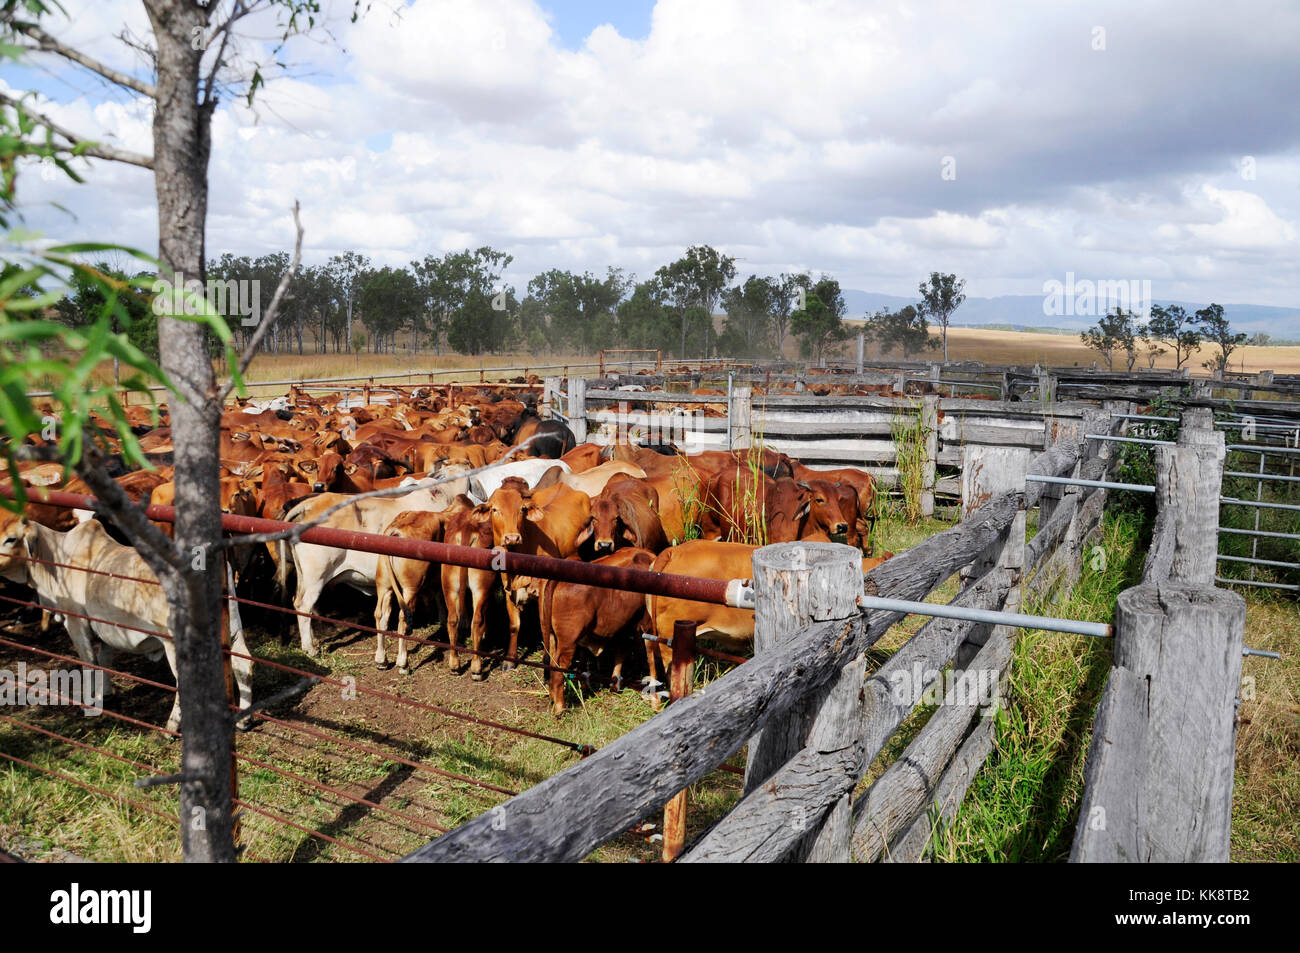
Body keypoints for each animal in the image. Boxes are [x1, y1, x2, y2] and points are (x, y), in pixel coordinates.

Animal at [0, 519, 253, 733]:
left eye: (10, 539)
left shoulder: (76, 623)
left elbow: (89, 662)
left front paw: (88, 704)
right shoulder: (106, 629)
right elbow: (104, 660)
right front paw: (105, 694)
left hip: (175, 641)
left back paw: (171, 727)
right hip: (233, 630)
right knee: (244, 665)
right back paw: (244, 719)